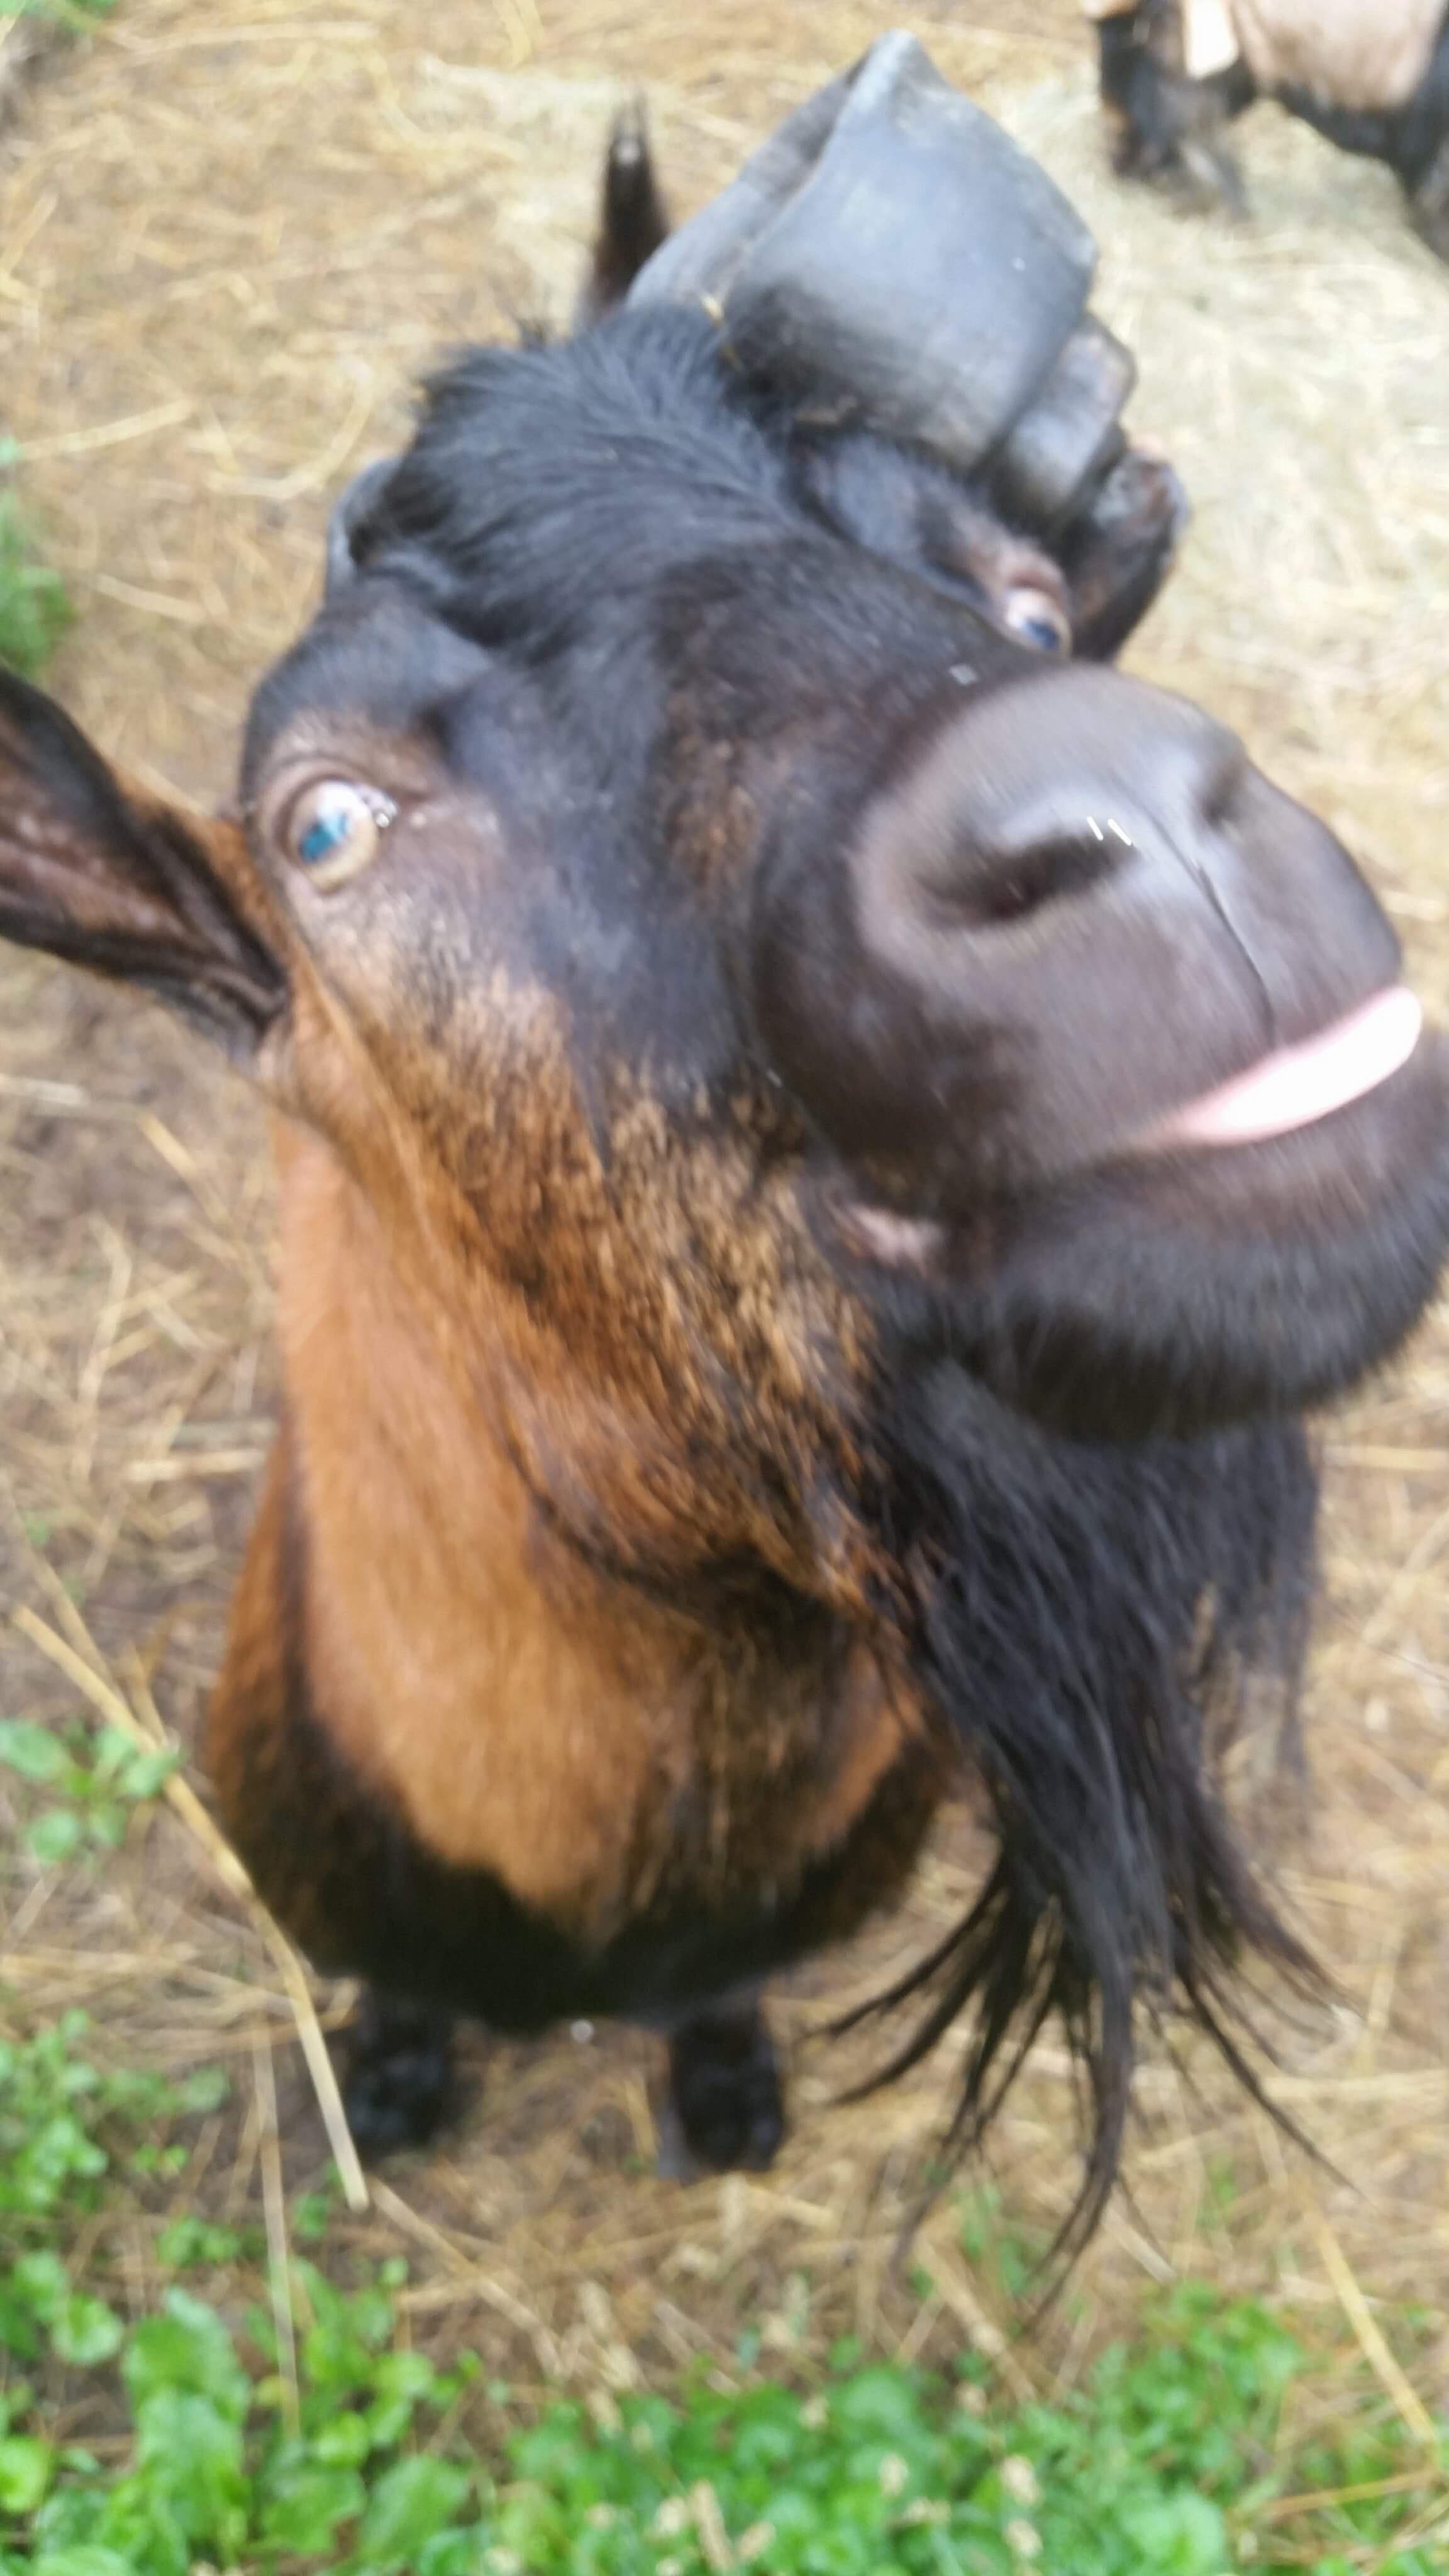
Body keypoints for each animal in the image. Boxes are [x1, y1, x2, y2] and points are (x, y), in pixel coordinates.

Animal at [3, 109, 1448, 2258]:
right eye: (325, 827)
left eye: (1030, 606)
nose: (1131, 821)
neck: (598, 1898)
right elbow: (395, 1999)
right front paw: (397, 2078)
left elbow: (724, 2009)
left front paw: (728, 2089)